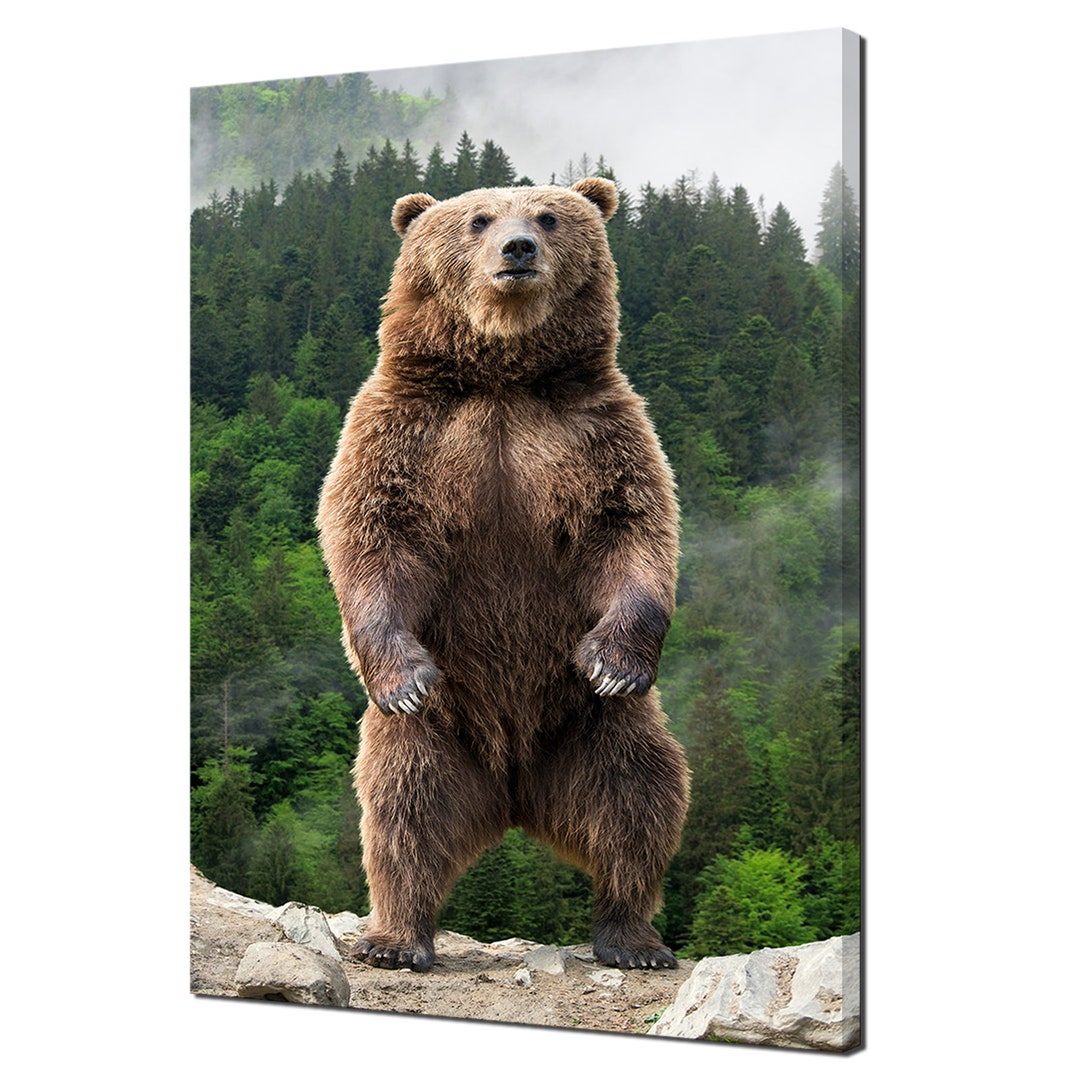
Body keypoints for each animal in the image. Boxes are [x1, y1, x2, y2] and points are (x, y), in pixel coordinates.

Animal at [317, 177, 690, 973]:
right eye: (478, 219)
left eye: (548, 216)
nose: (517, 249)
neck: (502, 377)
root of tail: (515, 793)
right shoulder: (405, 431)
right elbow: (371, 533)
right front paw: (404, 675)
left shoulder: (597, 432)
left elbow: (634, 529)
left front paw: (613, 661)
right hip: (437, 735)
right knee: (403, 810)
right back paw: (397, 938)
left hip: (594, 726)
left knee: (639, 797)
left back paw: (632, 938)